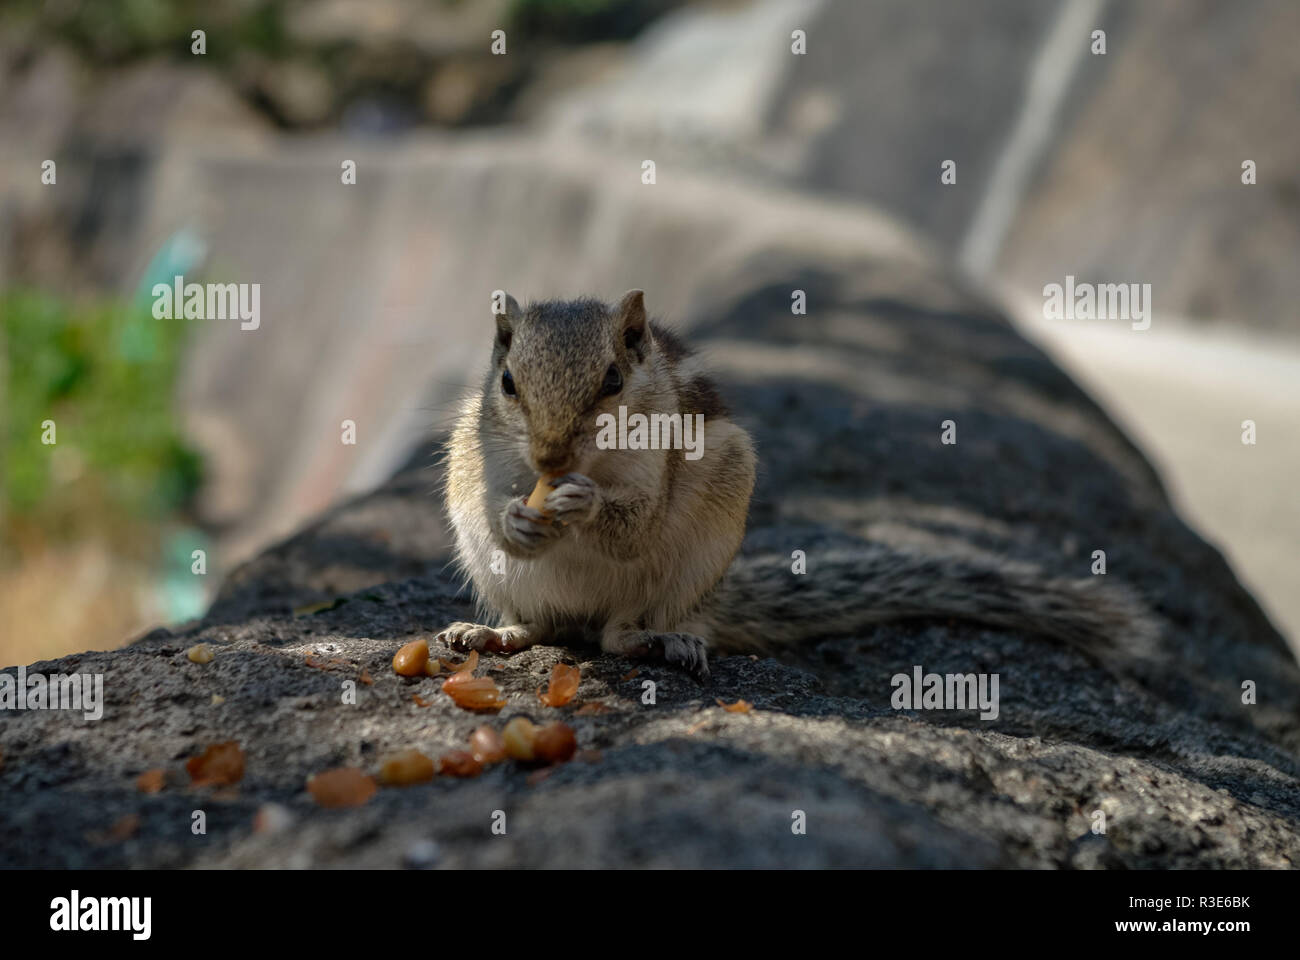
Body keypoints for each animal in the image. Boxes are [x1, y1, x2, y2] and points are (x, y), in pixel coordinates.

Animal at [439, 290, 1155, 680]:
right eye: (508, 383)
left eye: (612, 381)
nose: (550, 456)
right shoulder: (487, 459)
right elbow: (500, 511)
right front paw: (519, 519)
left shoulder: (653, 465)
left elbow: (635, 524)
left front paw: (584, 504)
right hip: (498, 565)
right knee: (541, 626)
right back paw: (488, 635)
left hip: (689, 564)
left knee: (619, 634)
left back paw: (662, 639)